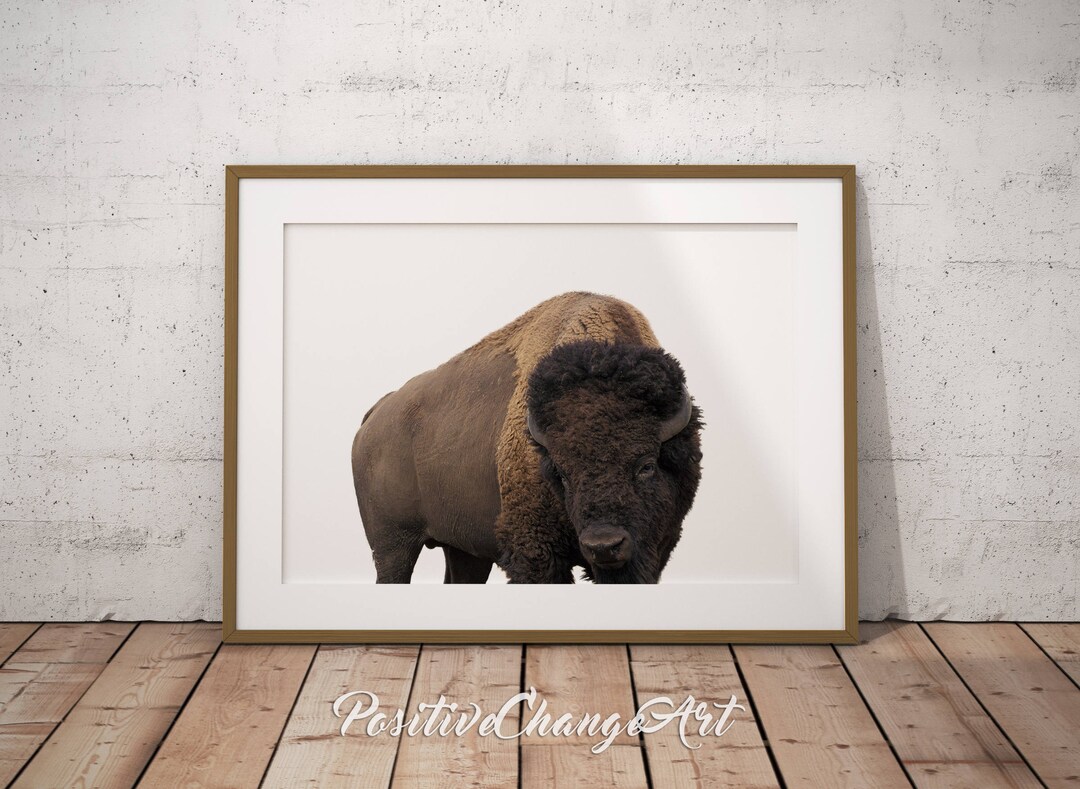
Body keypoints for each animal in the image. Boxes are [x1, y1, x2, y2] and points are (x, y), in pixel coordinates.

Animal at [351, 291, 703, 584]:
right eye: (561, 472)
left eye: (646, 465)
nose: (603, 546)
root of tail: (374, 416)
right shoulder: (535, 553)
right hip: (393, 546)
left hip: (463, 549)